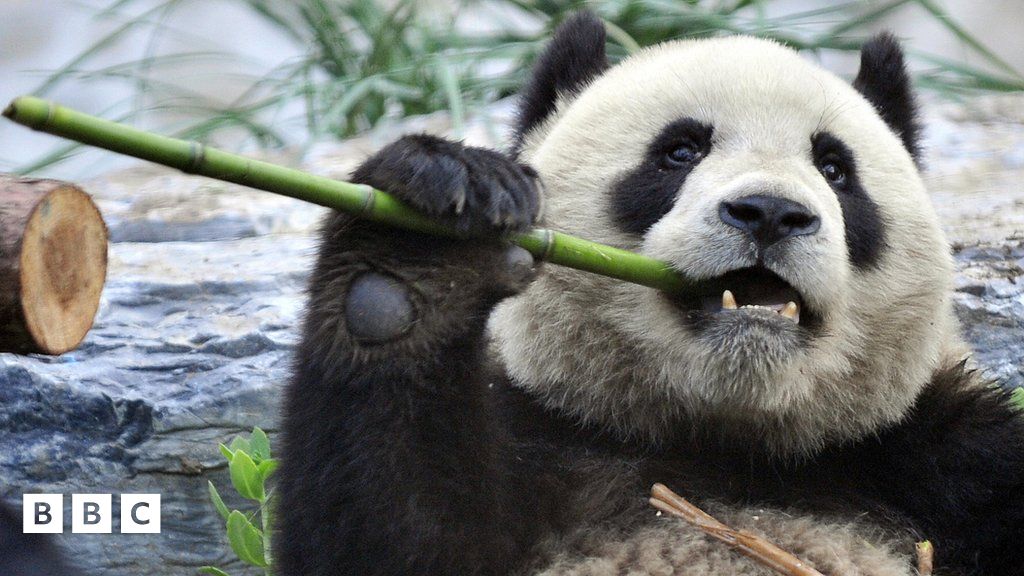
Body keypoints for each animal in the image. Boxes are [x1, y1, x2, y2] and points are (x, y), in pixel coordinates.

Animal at [275, 11, 1024, 576]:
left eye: (836, 168)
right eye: (680, 151)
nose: (770, 213)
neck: (726, 441)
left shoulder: (940, 461)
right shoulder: (543, 437)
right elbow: (395, 535)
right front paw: (421, 247)